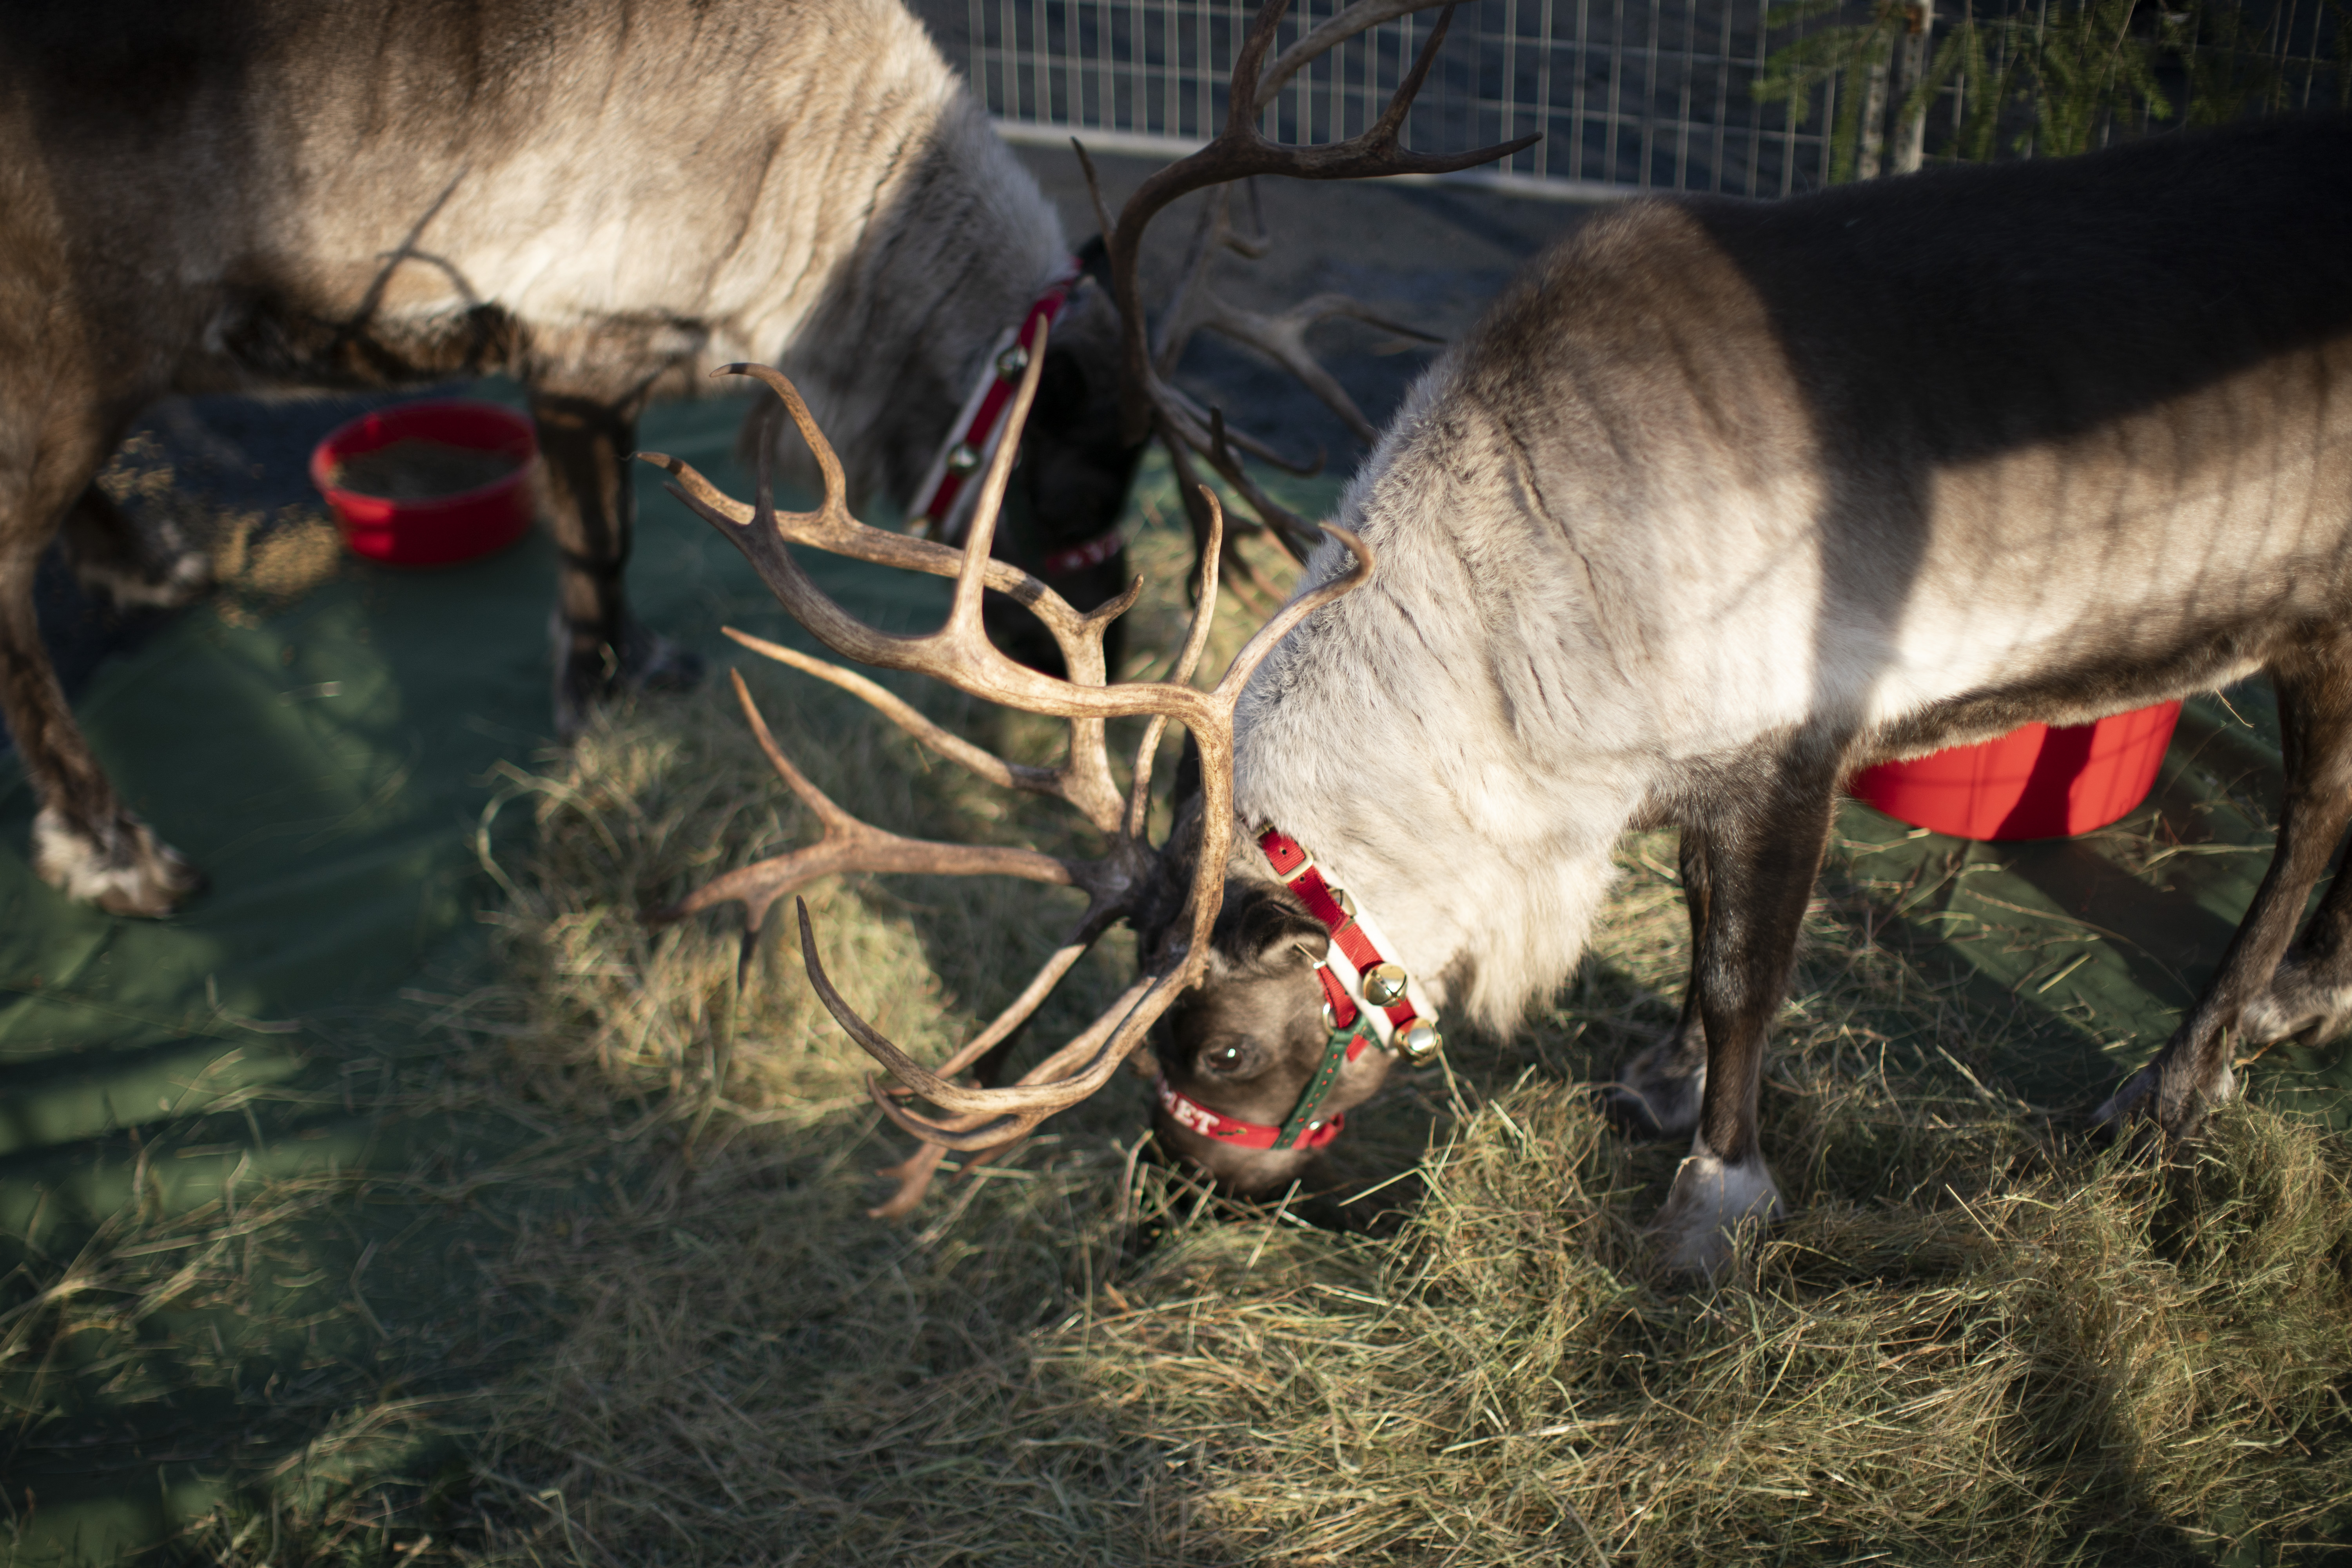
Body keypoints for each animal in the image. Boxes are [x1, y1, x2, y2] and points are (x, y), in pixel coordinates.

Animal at [0, 0, 1468, 920]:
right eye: (1068, 498)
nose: (1072, 669)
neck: (828, 186)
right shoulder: (582, 349)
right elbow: (599, 545)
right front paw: (608, 691)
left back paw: (158, 568)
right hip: (71, 348)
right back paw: (119, 854)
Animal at [656, 6, 2352, 1270]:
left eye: (1213, 1056)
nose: (1199, 1187)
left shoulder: (1793, 743)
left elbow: (1742, 971)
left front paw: (1716, 1195)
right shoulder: (1674, 767)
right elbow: (1692, 924)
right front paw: (1660, 1086)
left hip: (2317, 604)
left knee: (2313, 808)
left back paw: (2183, 1074)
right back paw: (2303, 999)